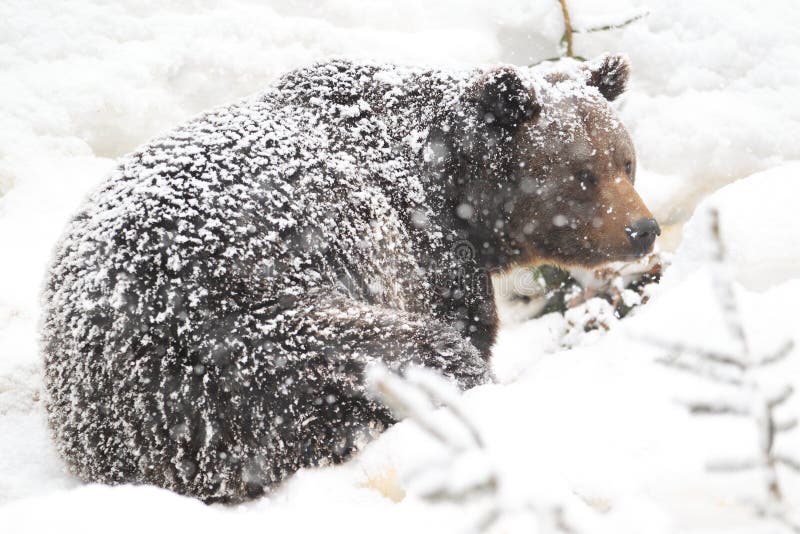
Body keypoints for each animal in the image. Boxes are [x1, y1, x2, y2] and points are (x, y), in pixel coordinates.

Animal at [42, 54, 659, 503]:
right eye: (581, 175)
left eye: (625, 161)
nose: (643, 229)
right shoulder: (424, 255)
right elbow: (463, 333)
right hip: (254, 337)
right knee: (416, 357)